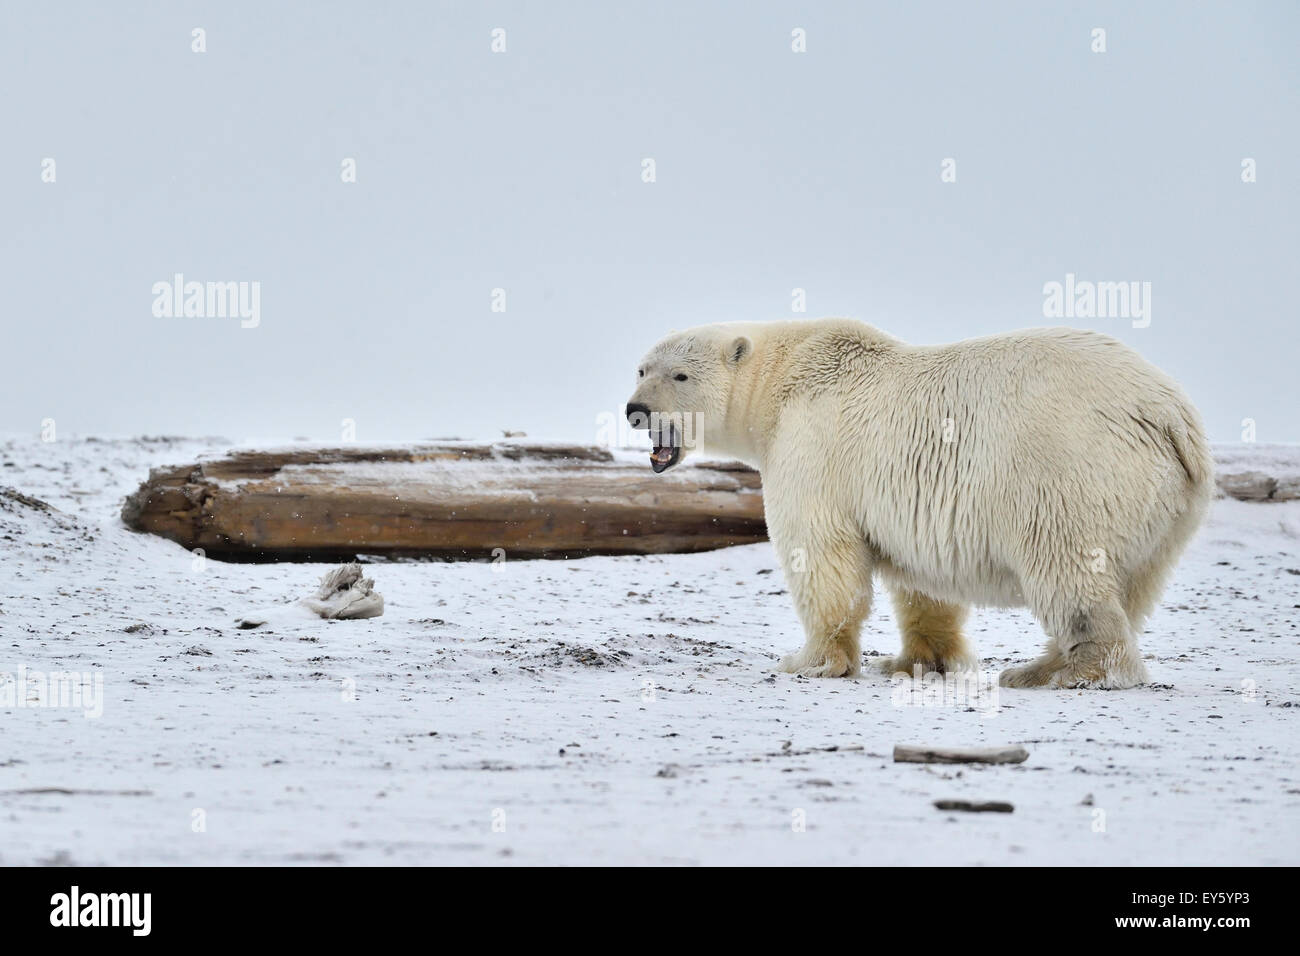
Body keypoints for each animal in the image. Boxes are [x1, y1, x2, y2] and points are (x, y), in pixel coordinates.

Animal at [625, 318, 1213, 689]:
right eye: (642, 368)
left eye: (680, 375)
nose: (636, 410)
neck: (784, 380)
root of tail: (1168, 413)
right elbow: (922, 580)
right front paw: (915, 662)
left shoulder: (812, 444)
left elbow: (822, 555)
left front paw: (809, 660)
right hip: (1168, 506)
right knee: (1137, 582)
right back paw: (1038, 666)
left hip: (1067, 472)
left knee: (1067, 570)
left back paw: (1067, 672)